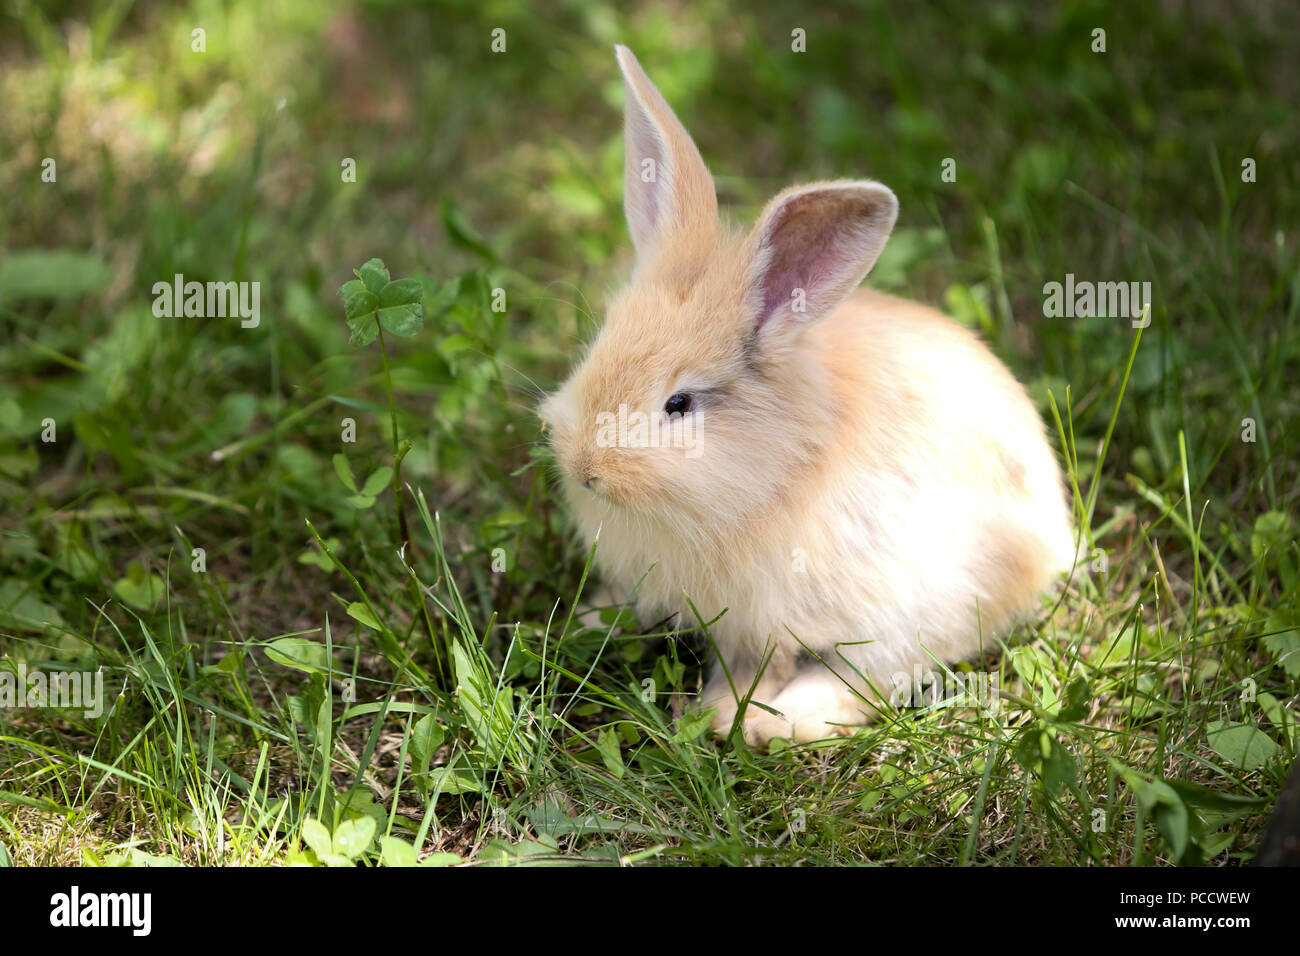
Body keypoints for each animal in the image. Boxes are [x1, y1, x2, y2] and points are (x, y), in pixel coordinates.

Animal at [538, 45, 1076, 745]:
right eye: (598, 346)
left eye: (680, 404)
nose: (585, 468)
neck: (773, 466)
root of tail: (1052, 543)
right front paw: (587, 619)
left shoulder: (764, 618)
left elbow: (757, 668)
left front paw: (721, 715)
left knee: (870, 679)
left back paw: (781, 724)